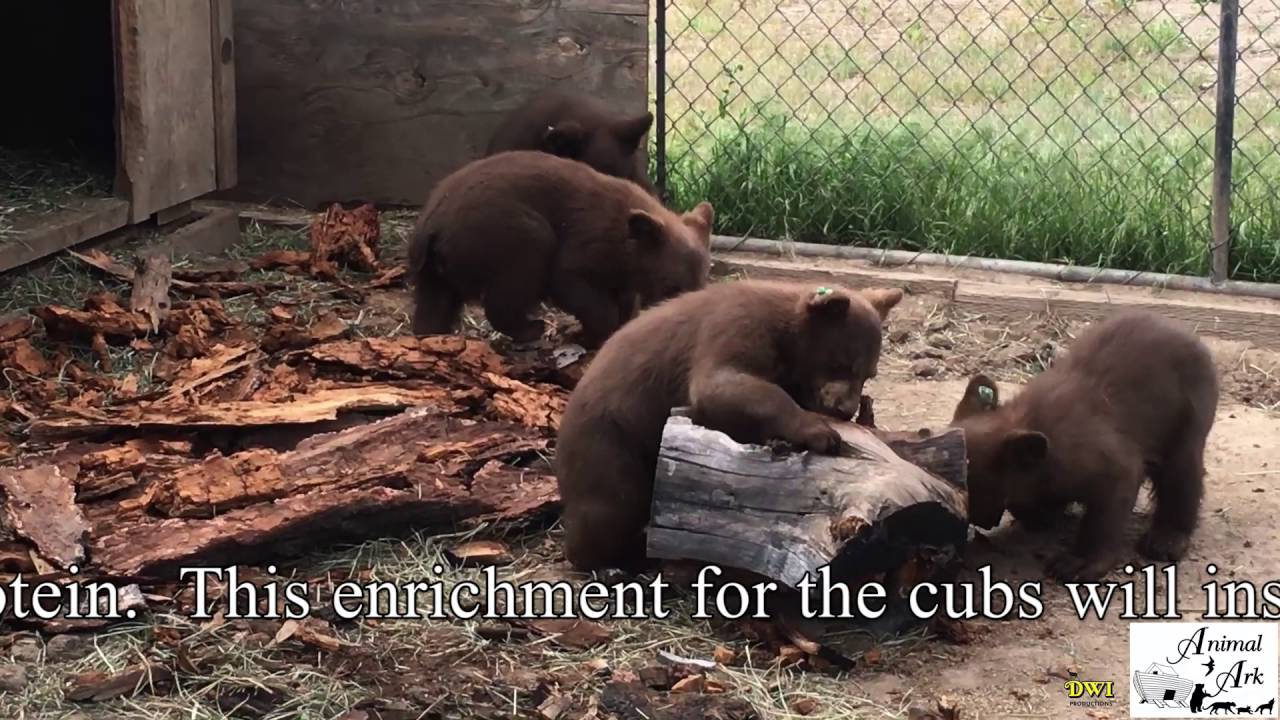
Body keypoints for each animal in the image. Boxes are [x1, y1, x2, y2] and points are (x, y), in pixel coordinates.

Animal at [407, 150, 713, 348]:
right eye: (672, 286)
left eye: (701, 283)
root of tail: (432, 225)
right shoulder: (589, 242)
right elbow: (570, 280)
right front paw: (594, 334)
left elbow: (625, 299)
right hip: (504, 231)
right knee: (518, 272)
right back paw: (531, 328)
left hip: (433, 268)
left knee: (434, 302)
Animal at [554, 279, 904, 571]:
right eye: (842, 364)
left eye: (869, 373)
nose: (845, 411)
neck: (789, 340)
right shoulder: (734, 328)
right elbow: (724, 385)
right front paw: (820, 432)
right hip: (609, 440)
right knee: (612, 504)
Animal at [950, 309, 1219, 581]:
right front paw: (1044, 517)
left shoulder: (1108, 463)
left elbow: (1103, 516)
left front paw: (1080, 562)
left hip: (1189, 419)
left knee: (1181, 475)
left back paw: (1165, 540)